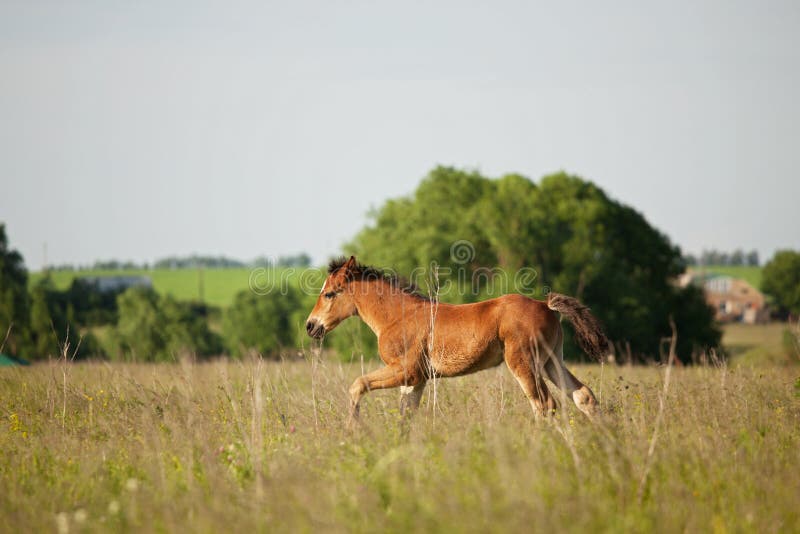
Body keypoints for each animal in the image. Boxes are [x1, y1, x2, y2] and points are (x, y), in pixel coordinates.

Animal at [305, 256, 609, 423]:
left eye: (329, 293)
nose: (311, 326)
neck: (396, 316)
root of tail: (546, 305)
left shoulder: (407, 371)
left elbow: (357, 385)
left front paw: (352, 429)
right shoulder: (418, 379)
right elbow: (406, 414)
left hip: (523, 362)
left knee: (544, 405)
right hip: (551, 361)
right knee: (584, 396)